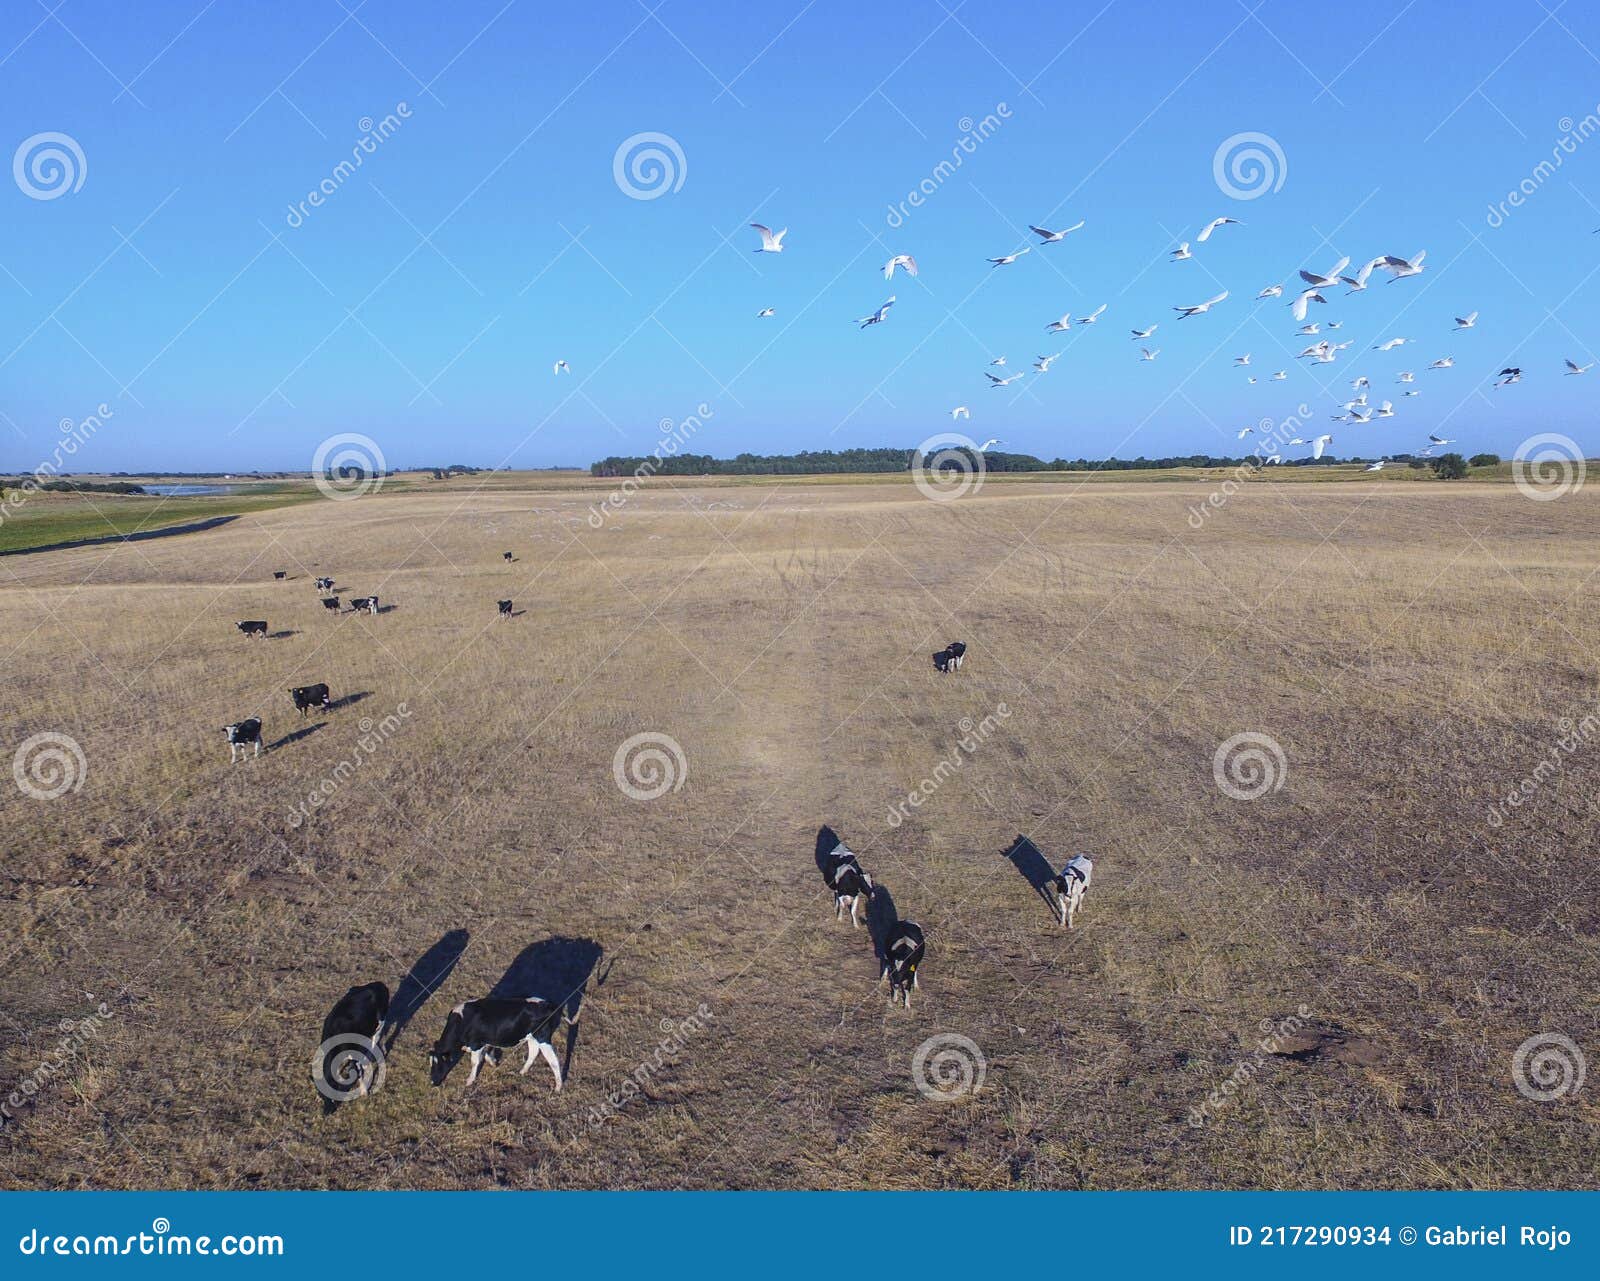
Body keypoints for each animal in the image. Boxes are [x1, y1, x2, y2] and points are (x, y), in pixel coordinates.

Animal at [428, 996, 576, 1091]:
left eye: (438, 1063)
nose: (432, 1082)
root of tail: (548, 1004)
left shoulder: (476, 1044)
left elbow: (475, 1062)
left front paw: (470, 1081)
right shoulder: (484, 1041)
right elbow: (486, 1054)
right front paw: (494, 1063)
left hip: (542, 1037)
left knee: (553, 1060)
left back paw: (558, 1087)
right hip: (532, 1037)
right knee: (533, 1052)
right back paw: (523, 1071)